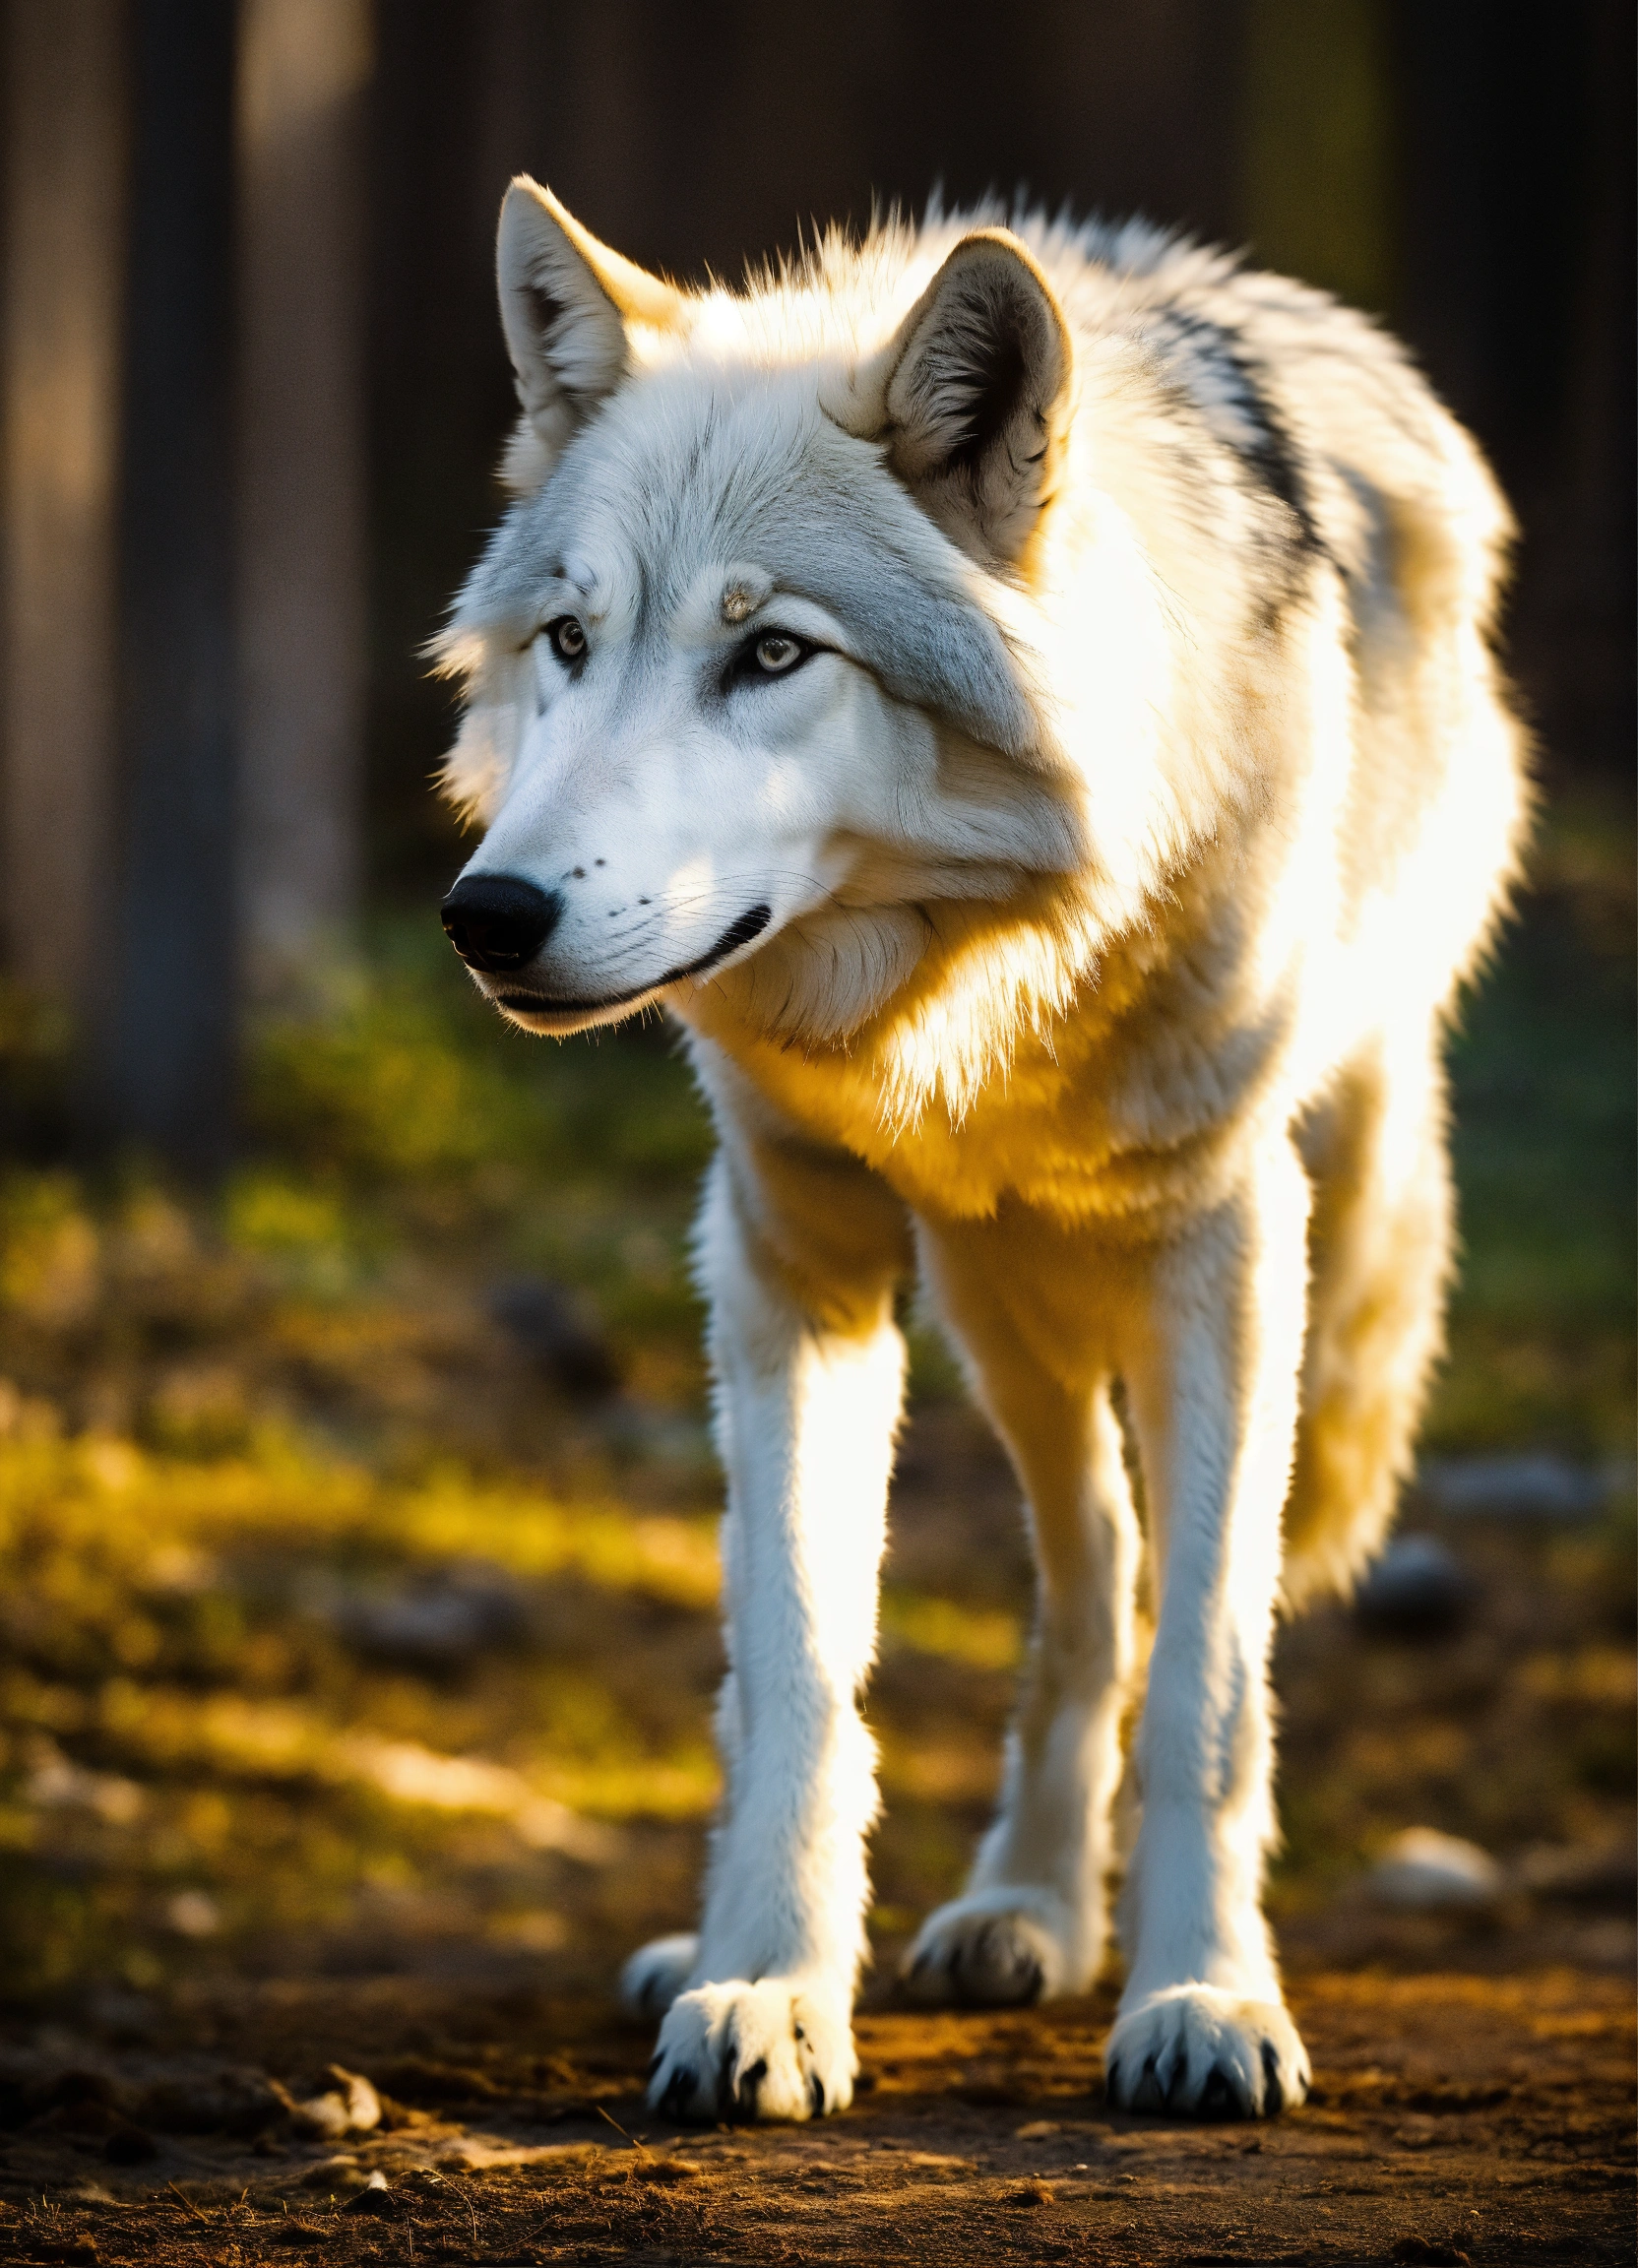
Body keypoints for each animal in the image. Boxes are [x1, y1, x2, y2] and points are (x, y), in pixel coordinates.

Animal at [435, 178, 1528, 2122]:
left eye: (770, 651)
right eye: (570, 638)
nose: (489, 915)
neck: (956, 1001)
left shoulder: (1223, 1252)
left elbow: (1208, 1681)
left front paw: (1204, 1997)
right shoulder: (786, 1250)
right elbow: (793, 1669)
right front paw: (762, 1987)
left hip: (1268, 1252)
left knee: (1153, 1581)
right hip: (997, 1308)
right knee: (1085, 1570)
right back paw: (1007, 1906)